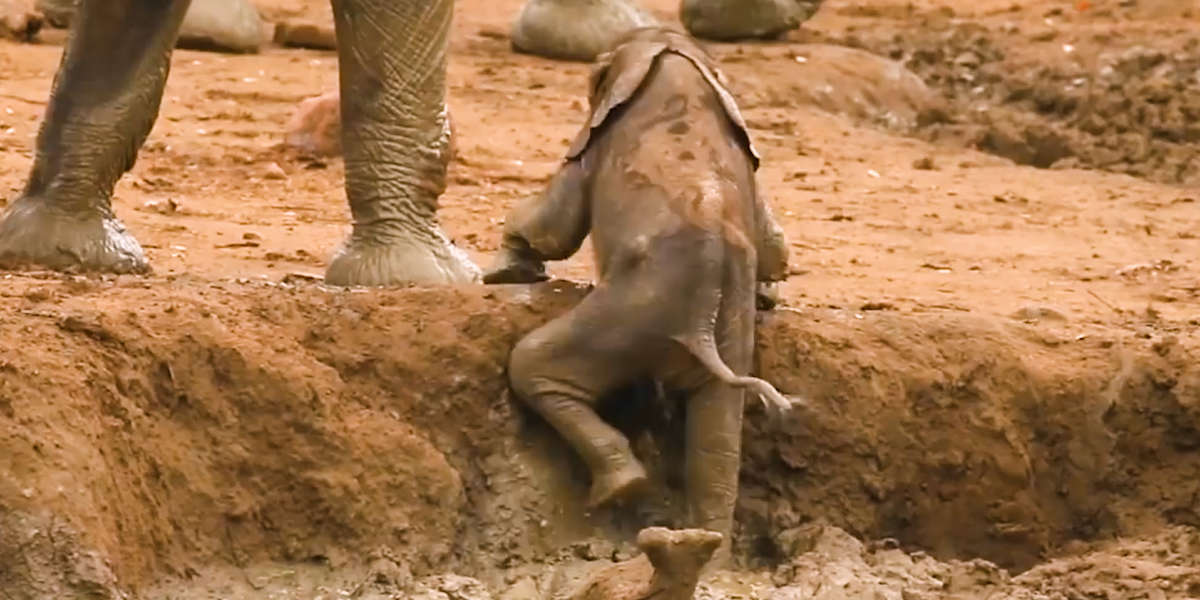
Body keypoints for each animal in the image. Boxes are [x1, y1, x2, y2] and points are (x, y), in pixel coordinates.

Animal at [482, 27, 797, 561]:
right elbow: (774, 242)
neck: (674, 56)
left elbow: (558, 220)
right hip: (726, 335)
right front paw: (769, 294)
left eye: (595, 74)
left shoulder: (594, 145)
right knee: (717, 437)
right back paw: (708, 553)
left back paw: (622, 490)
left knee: (533, 364)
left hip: (628, 316)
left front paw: (502, 273)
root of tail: (699, 328)